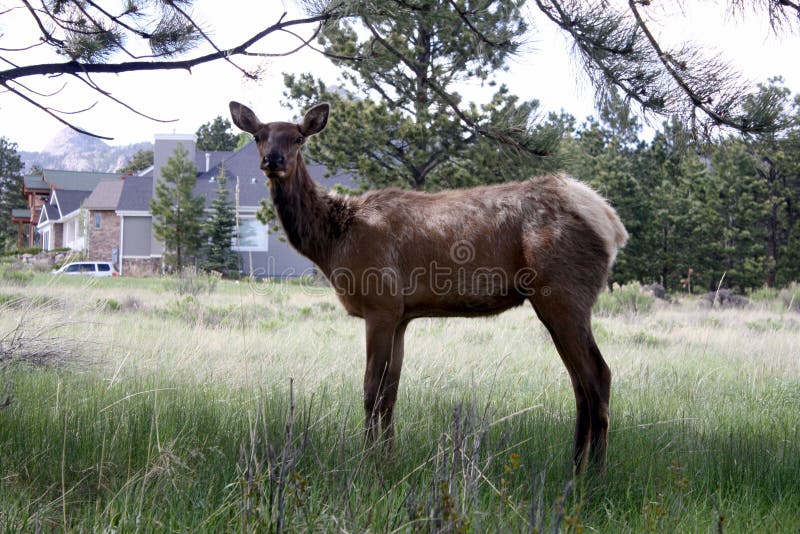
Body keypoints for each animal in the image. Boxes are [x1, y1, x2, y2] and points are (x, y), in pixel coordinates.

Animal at [229, 101, 628, 472]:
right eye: (259, 135)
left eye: (298, 137)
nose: (273, 160)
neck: (333, 242)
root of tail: (611, 221)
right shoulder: (402, 315)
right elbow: (390, 393)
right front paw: (388, 459)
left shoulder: (380, 304)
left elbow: (370, 390)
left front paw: (366, 461)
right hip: (555, 302)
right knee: (580, 382)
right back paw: (574, 466)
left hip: (563, 292)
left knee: (598, 374)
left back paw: (595, 474)